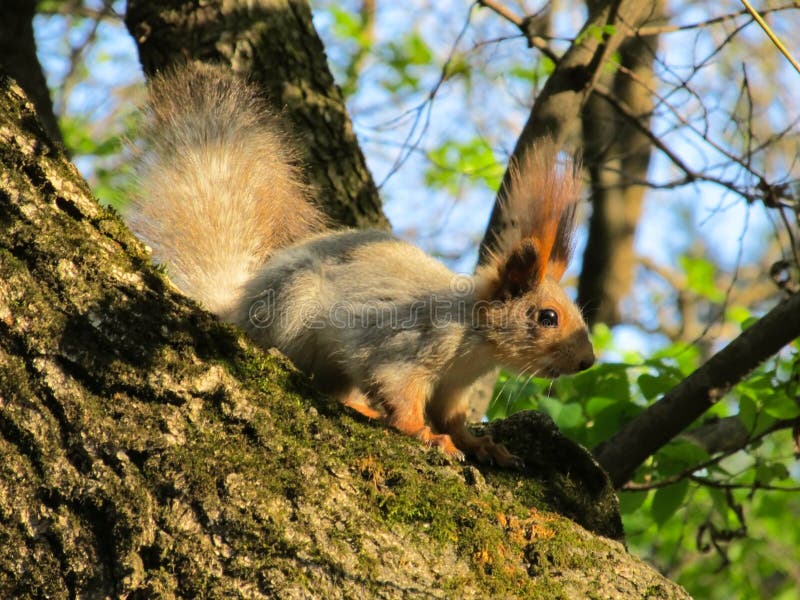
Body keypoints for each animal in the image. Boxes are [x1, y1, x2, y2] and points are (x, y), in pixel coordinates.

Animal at [127, 63, 595, 467]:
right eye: (547, 317)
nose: (588, 362)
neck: (475, 340)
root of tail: (239, 307)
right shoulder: (410, 348)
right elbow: (399, 393)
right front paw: (428, 436)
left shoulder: (454, 387)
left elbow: (454, 419)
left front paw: (480, 444)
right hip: (293, 308)